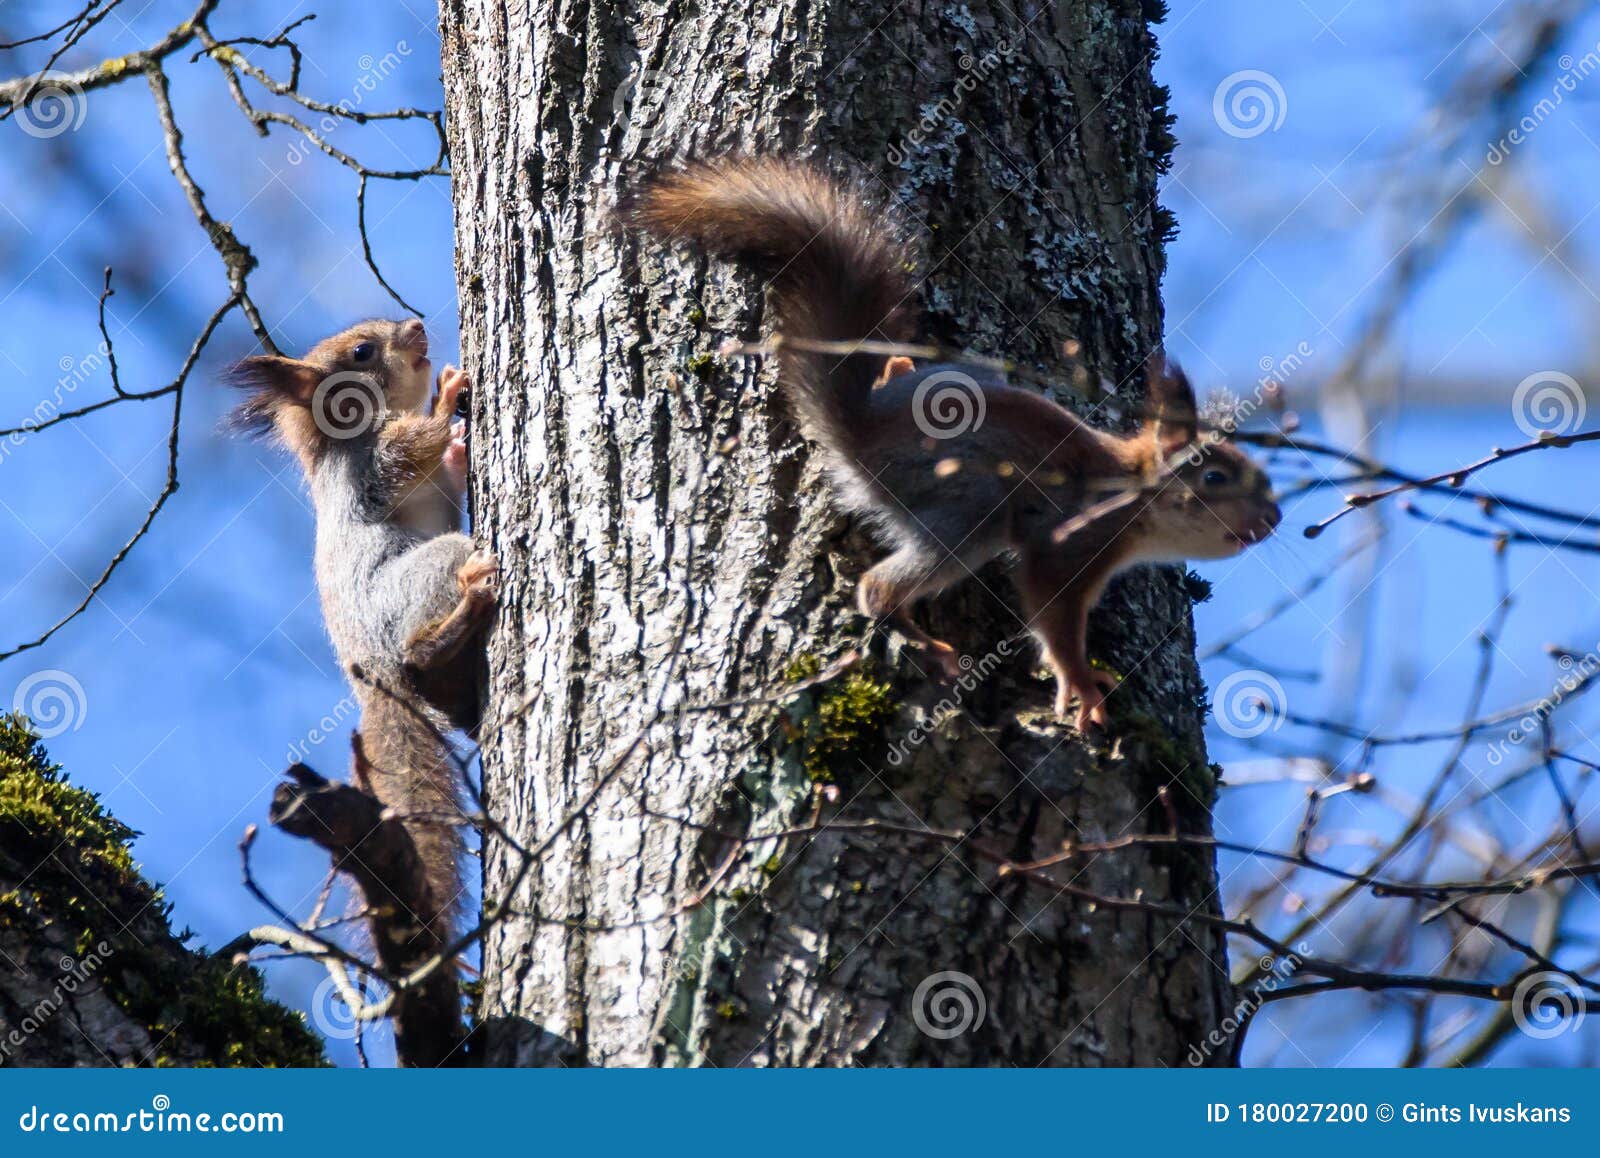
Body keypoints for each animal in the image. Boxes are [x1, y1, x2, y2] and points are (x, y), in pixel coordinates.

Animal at [229, 317, 497, 952]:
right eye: (361, 351)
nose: (417, 324)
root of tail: (374, 675)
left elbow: (444, 471)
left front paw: (457, 443)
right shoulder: (371, 467)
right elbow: (410, 449)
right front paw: (447, 398)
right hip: (427, 574)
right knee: (419, 650)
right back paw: (469, 601)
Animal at [630, 157, 1281, 729]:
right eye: (1214, 477)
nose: (1273, 519)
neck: (1131, 496)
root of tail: (862, 429)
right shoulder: (1067, 544)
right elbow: (1052, 615)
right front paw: (1082, 685)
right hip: (970, 510)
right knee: (877, 588)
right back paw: (926, 644)